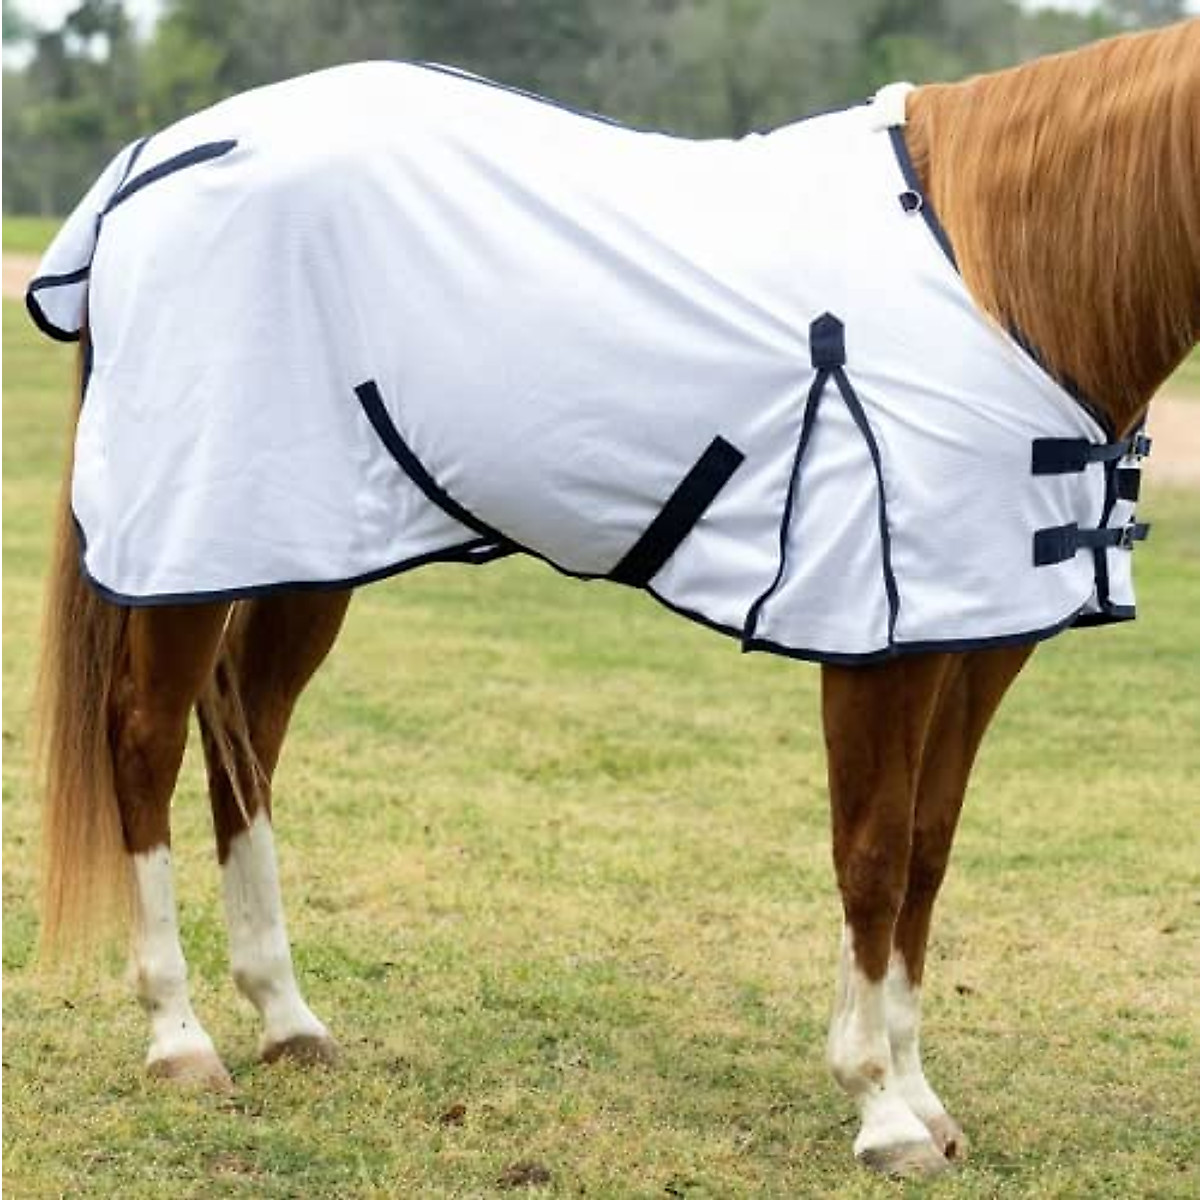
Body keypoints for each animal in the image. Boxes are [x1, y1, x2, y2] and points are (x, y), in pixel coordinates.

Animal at [30, 20, 1198, 1180]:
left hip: (301, 540)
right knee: (145, 739)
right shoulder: (880, 646)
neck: (1009, 277)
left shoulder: (979, 638)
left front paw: (920, 1097)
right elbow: (871, 857)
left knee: (248, 735)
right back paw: (179, 1039)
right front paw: (881, 1109)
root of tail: (153, 161)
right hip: (189, 538)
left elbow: (928, 853)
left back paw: (287, 1019)